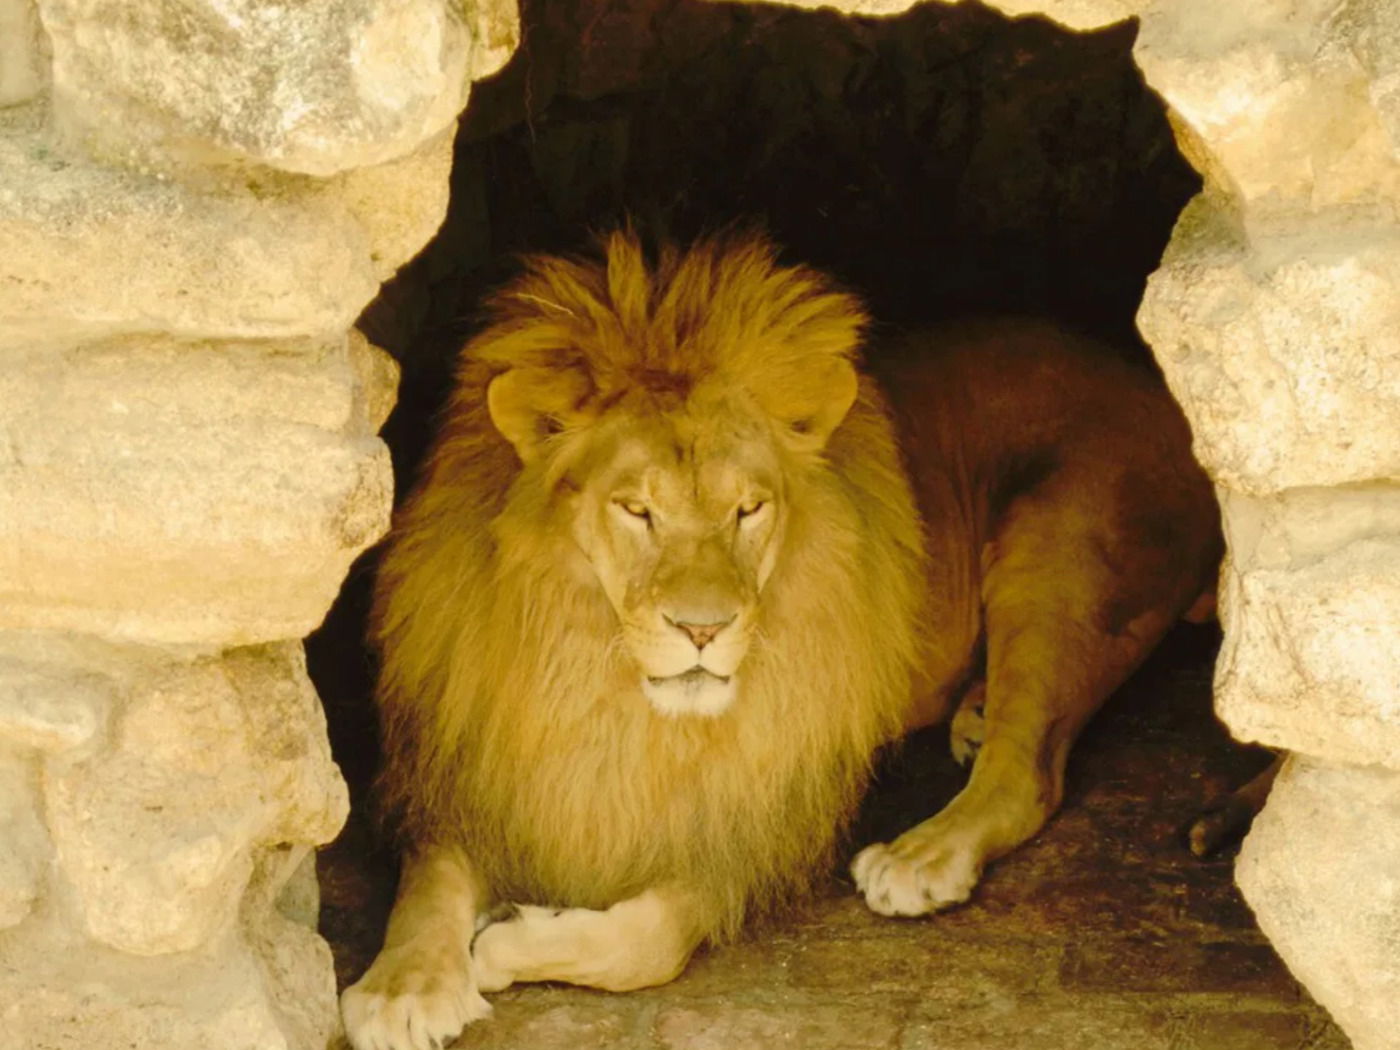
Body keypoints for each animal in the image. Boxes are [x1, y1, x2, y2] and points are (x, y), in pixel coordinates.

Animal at [341, 230, 1221, 1050]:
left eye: (749, 509)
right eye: (636, 509)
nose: (704, 628)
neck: (610, 689)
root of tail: (1162, 396)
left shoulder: (743, 825)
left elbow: (645, 941)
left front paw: (502, 942)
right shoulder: (472, 764)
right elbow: (428, 881)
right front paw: (401, 988)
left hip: (1058, 545)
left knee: (1028, 772)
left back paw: (921, 857)